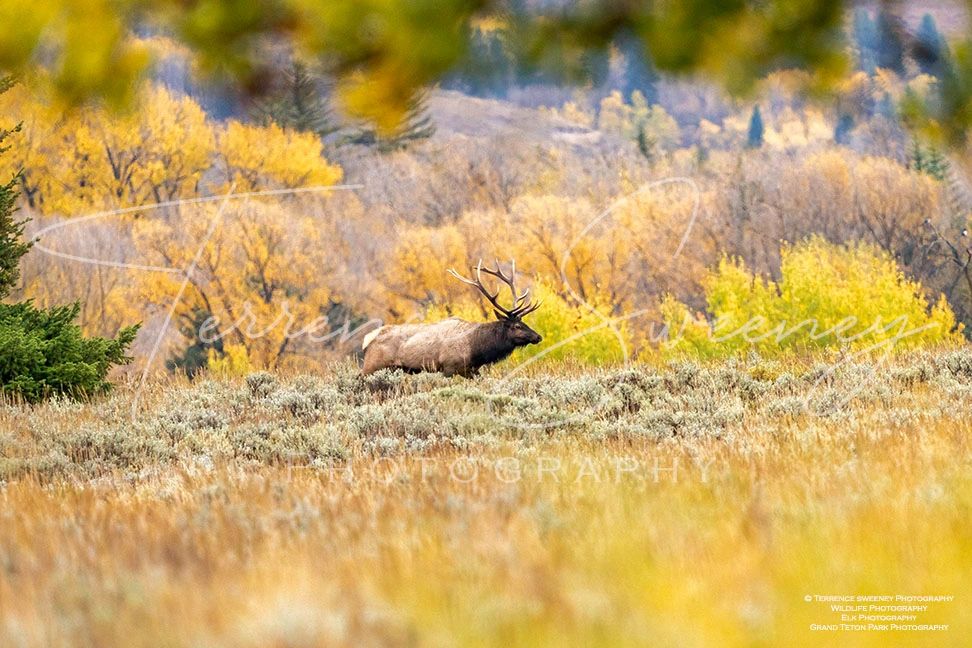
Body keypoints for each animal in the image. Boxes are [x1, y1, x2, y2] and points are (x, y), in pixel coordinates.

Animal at [361, 259, 543, 376]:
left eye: (523, 322)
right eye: (516, 326)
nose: (538, 337)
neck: (476, 349)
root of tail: (368, 339)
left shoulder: (471, 370)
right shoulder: (449, 367)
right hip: (371, 366)